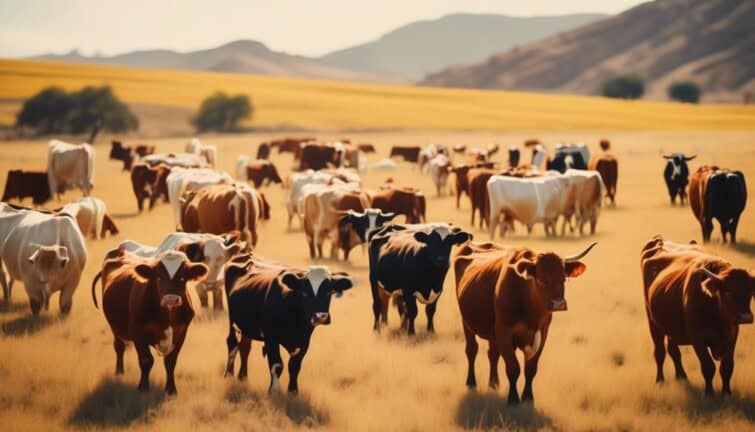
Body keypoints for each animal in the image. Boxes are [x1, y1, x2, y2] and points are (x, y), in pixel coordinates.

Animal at [92, 249, 207, 395]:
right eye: (159, 277)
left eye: (183, 277)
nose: (171, 299)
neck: (167, 317)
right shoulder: (138, 332)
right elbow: (146, 360)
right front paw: (143, 388)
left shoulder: (181, 332)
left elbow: (171, 361)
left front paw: (171, 389)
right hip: (115, 327)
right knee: (119, 346)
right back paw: (119, 372)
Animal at [223, 259, 353, 394]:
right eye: (304, 293)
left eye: (329, 292)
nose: (320, 316)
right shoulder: (271, 338)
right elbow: (277, 365)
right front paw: (273, 391)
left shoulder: (305, 341)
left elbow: (295, 365)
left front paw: (293, 391)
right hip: (232, 321)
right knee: (232, 343)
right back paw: (229, 375)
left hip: (246, 327)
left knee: (245, 347)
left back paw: (243, 377)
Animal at [454, 241, 596, 404]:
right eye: (541, 279)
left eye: (564, 279)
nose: (559, 304)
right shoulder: (504, 332)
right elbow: (513, 367)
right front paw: (513, 399)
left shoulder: (542, 334)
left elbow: (531, 369)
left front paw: (528, 397)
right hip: (466, 324)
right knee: (472, 351)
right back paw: (471, 382)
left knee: (493, 354)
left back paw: (493, 384)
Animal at [640, 235, 754, 396]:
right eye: (728, 291)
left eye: (750, 291)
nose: (745, 317)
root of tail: (658, 239)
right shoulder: (698, 338)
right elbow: (708, 366)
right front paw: (709, 394)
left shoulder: (732, 335)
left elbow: (727, 367)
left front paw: (726, 392)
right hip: (654, 324)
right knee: (660, 352)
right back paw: (660, 380)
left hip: (671, 329)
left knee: (673, 351)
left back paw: (681, 376)